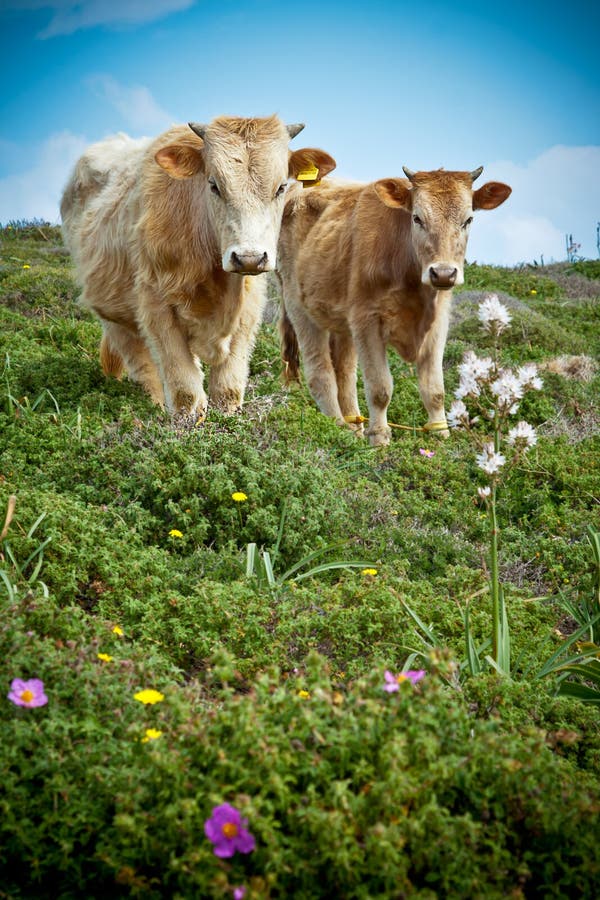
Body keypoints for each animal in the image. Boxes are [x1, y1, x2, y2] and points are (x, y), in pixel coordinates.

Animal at [60, 116, 336, 420]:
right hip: (111, 312)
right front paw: (187, 421)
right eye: (214, 185)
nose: (249, 258)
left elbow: (228, 386)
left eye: (281, 187)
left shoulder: (249, 308)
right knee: (142, 365)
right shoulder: (155, 304)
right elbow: (185, 387)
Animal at [276, 167, 511, 446]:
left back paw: (353, 428)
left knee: (344, 373)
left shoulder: (438, 322)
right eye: (417, 218)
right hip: (299, 307)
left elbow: (435, 389)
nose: (443, 273)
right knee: (321, 375)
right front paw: (379, 437)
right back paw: (337, 430)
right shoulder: (367, 320)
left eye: (468, 220)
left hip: (341, 321)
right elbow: (380, 387)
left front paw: (441, 434)